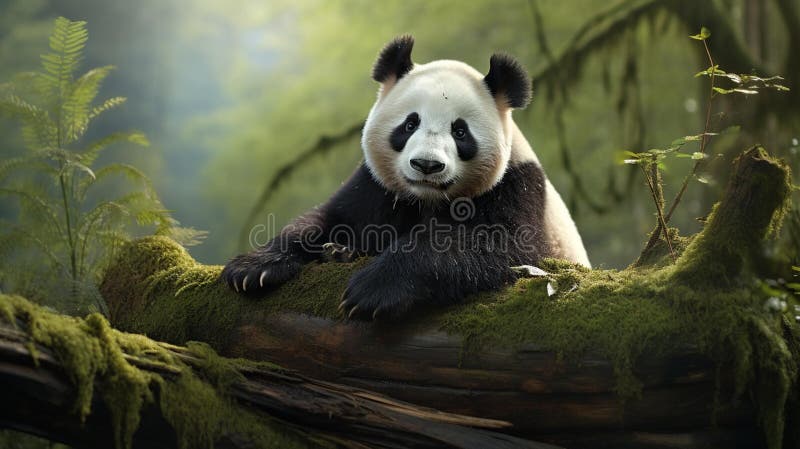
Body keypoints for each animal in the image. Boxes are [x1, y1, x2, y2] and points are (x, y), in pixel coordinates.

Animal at [222, 35, 590, 320]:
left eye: (460, 131)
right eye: (410, 123)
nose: (427, 165)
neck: (427, 199)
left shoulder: (515, 186)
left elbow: (498, 243)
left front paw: (373, 291)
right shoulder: (375, 186)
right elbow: (330, 219)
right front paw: (253, 269)